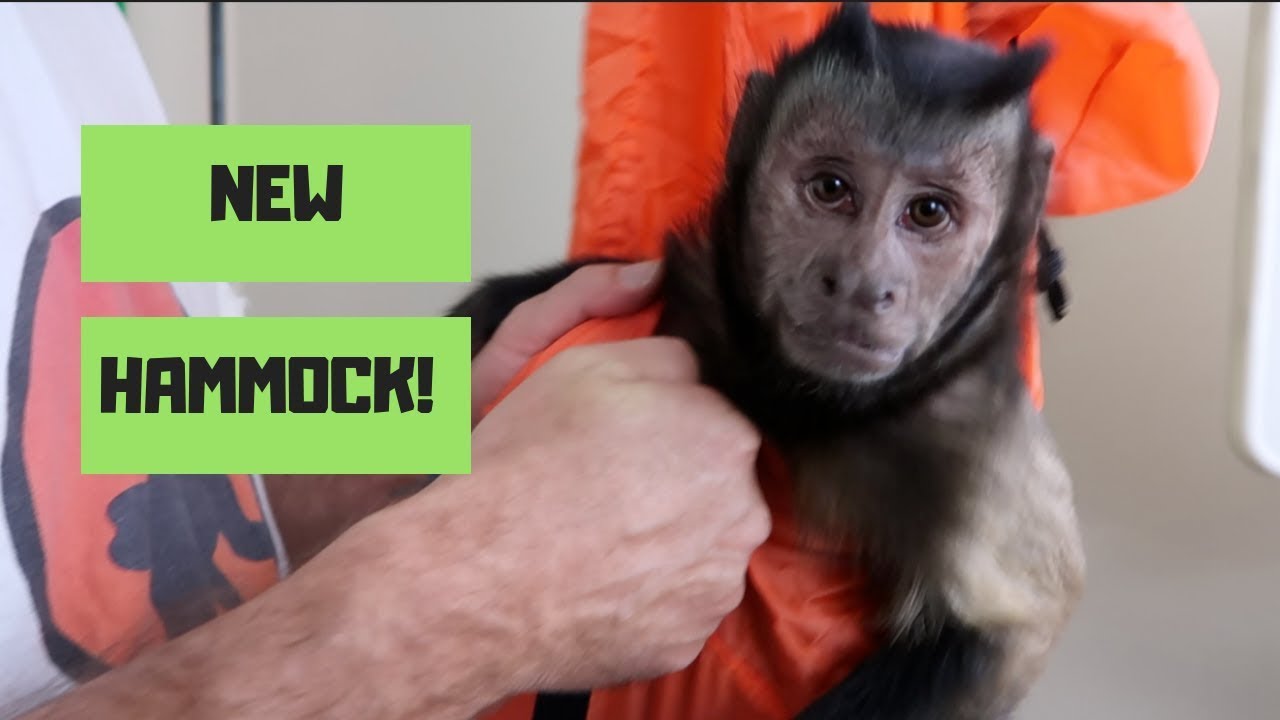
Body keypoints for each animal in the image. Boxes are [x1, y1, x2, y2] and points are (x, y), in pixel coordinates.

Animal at [449, 4, 1085, 719]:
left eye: (928, 212)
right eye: (831, 188)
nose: (861, 282)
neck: (801, 398)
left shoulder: (966, 439)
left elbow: (1016, 627)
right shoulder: (701, 291)